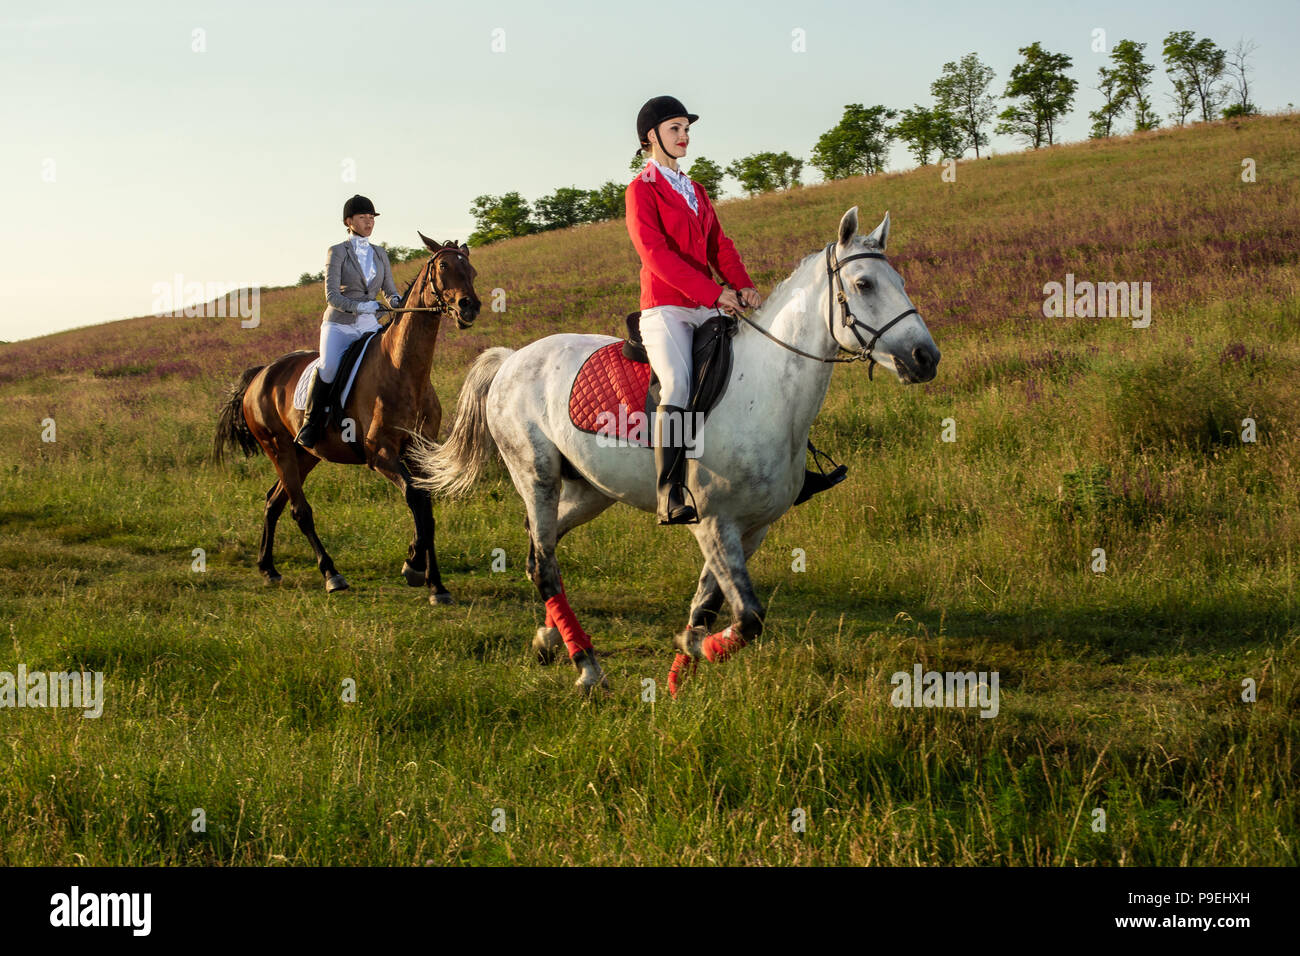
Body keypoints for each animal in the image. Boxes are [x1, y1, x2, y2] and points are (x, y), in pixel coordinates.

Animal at [213, 233, 481, 604]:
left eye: (471, 269)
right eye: (442, 266)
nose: (470, 307)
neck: (404, 370)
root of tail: (260, 374)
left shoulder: (418, 451)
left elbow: (425, 508)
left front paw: (426, 576)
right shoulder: (379, 454)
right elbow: (415, 499)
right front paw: (421, 572)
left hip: (305, 454)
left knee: (273, 501)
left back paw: (267, 568)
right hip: (277, 448)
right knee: (299, 510)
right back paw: (331, 574)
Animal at [408, 207, 939, 692]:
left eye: (900, 280)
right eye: (865, 284)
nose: (925, 357)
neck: (765, 389)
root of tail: (510, 359)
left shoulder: (753, 529)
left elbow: (708, 606)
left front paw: (680, 674)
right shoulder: (713, 523)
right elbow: (748, 617)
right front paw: (697, 649)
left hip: (590, 491)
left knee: (543, 550)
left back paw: (548, 639)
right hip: (536, 476)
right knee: (546, 566)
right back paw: (587, 667)